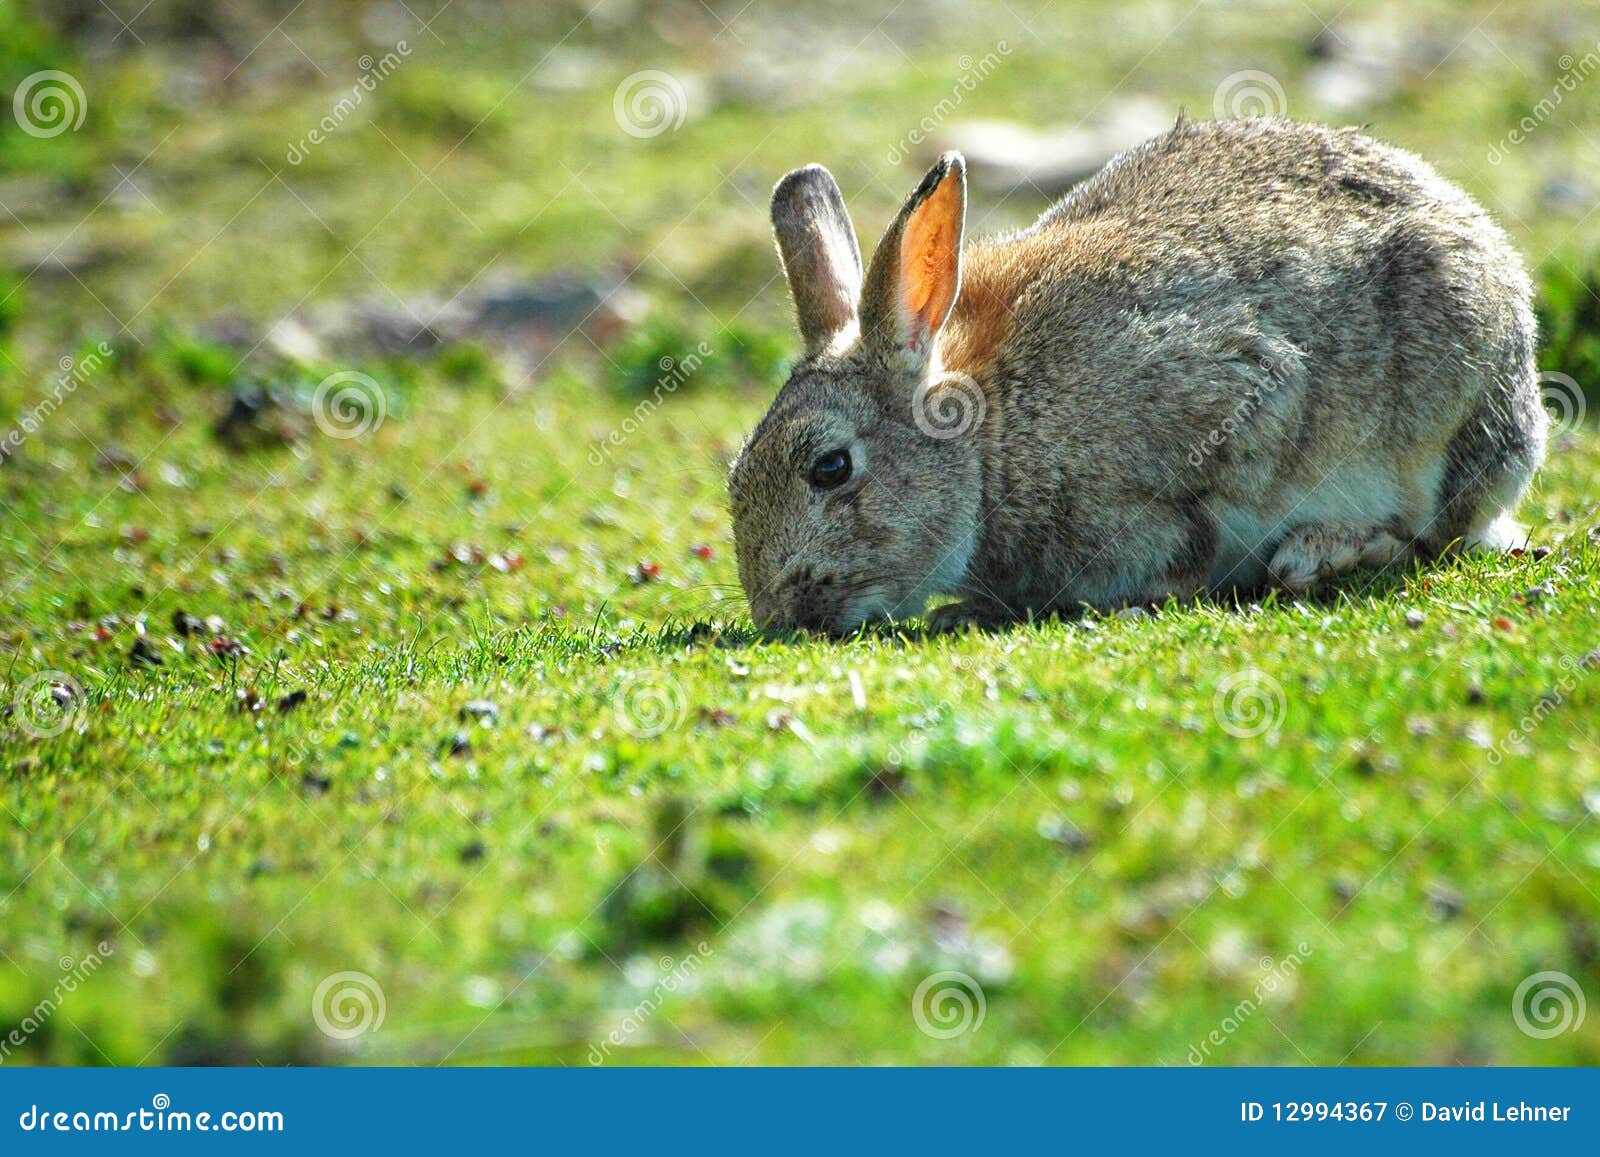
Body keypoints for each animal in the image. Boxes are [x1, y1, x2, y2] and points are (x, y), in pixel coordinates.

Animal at [727, 116, 1546, 634]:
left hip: (1459, 403)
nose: (775, 617)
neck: (991, 438)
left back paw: (1328, 550)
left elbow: (1196, 527)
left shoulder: (1236, 400)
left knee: (1438, 532)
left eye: (830, 468)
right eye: (735, 475)